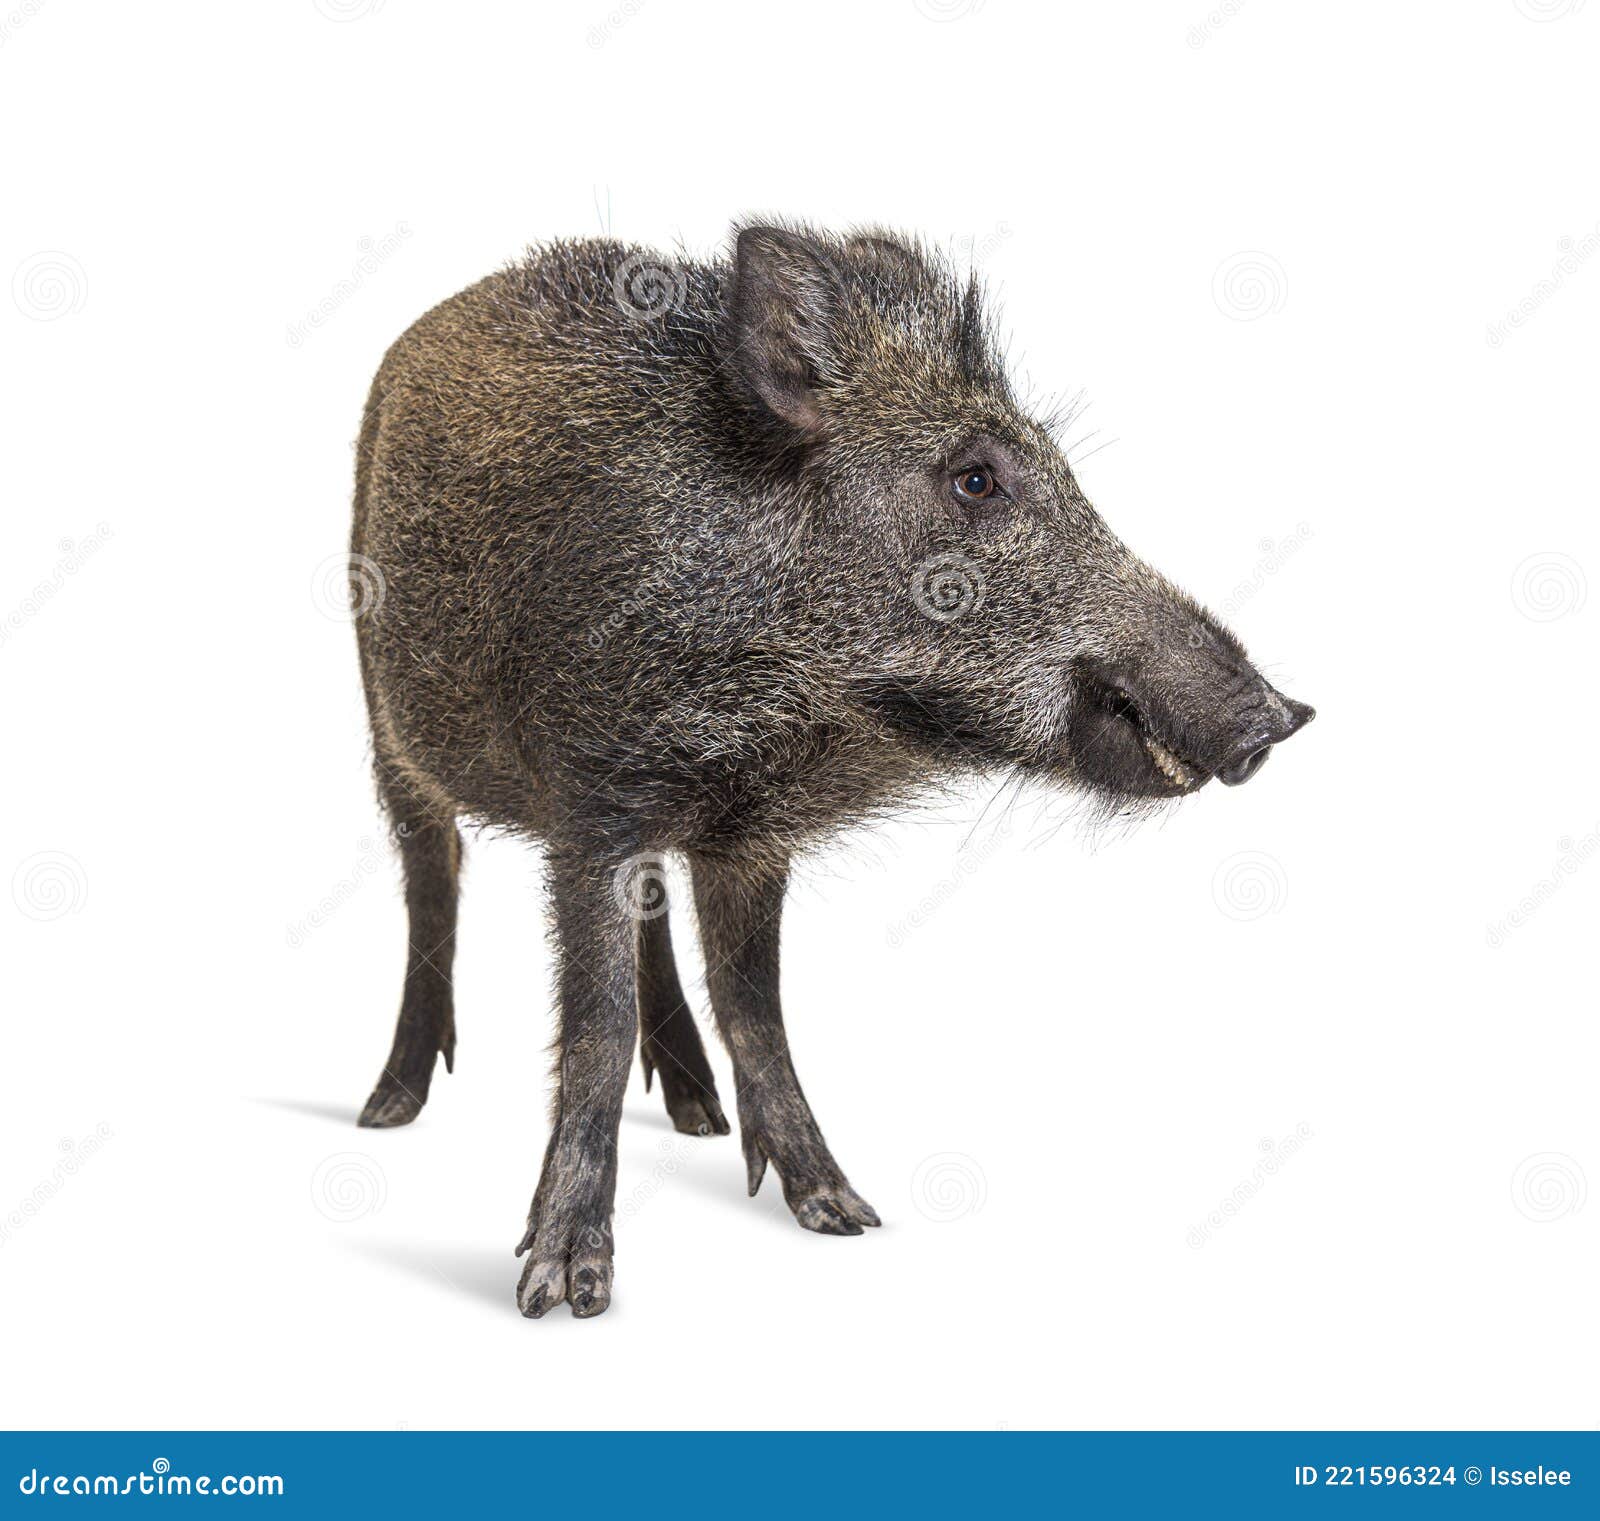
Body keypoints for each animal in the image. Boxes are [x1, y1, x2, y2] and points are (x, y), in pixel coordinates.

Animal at [348, 221, 1315, 1319]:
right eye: (976, 478)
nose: (1275, 717)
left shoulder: (749, 836)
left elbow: (755, 1005)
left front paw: (840, 1213)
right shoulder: (595, 807)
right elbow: (595, 1027)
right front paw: (562, 1289)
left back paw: (697, 1115)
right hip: (383, 723)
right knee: (432, 879)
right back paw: (387, 1108)